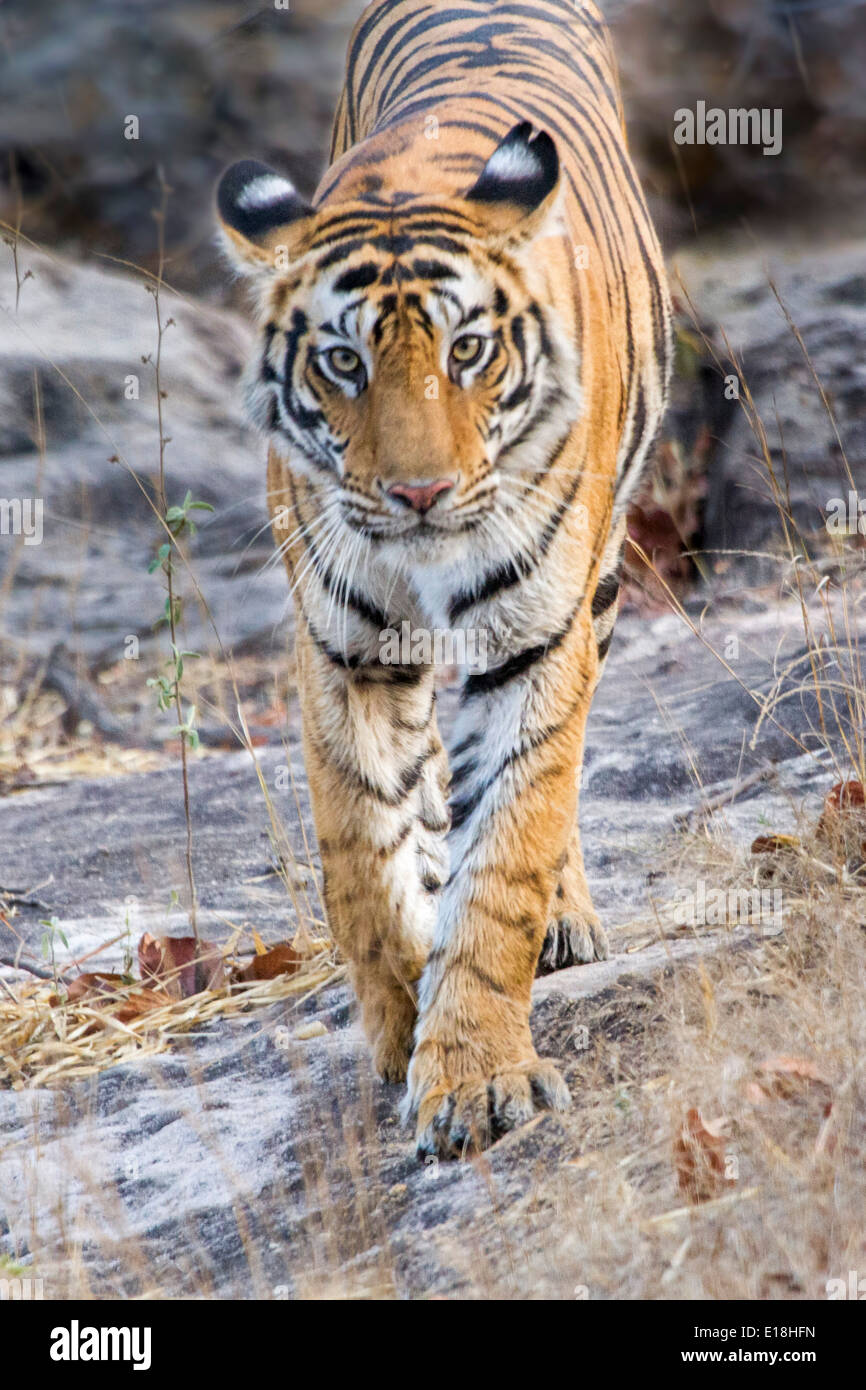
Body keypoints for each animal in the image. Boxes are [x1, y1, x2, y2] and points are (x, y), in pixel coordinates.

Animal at [216, 0, 672, 1159]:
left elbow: (507, 849)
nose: (418, 492)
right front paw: (395, 1026)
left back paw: (562, 917)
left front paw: (472, 1075)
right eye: (343, 363)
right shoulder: (343, 643)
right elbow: (359, 851)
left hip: (601, 579)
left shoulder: (539, 634)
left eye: (467, 351)